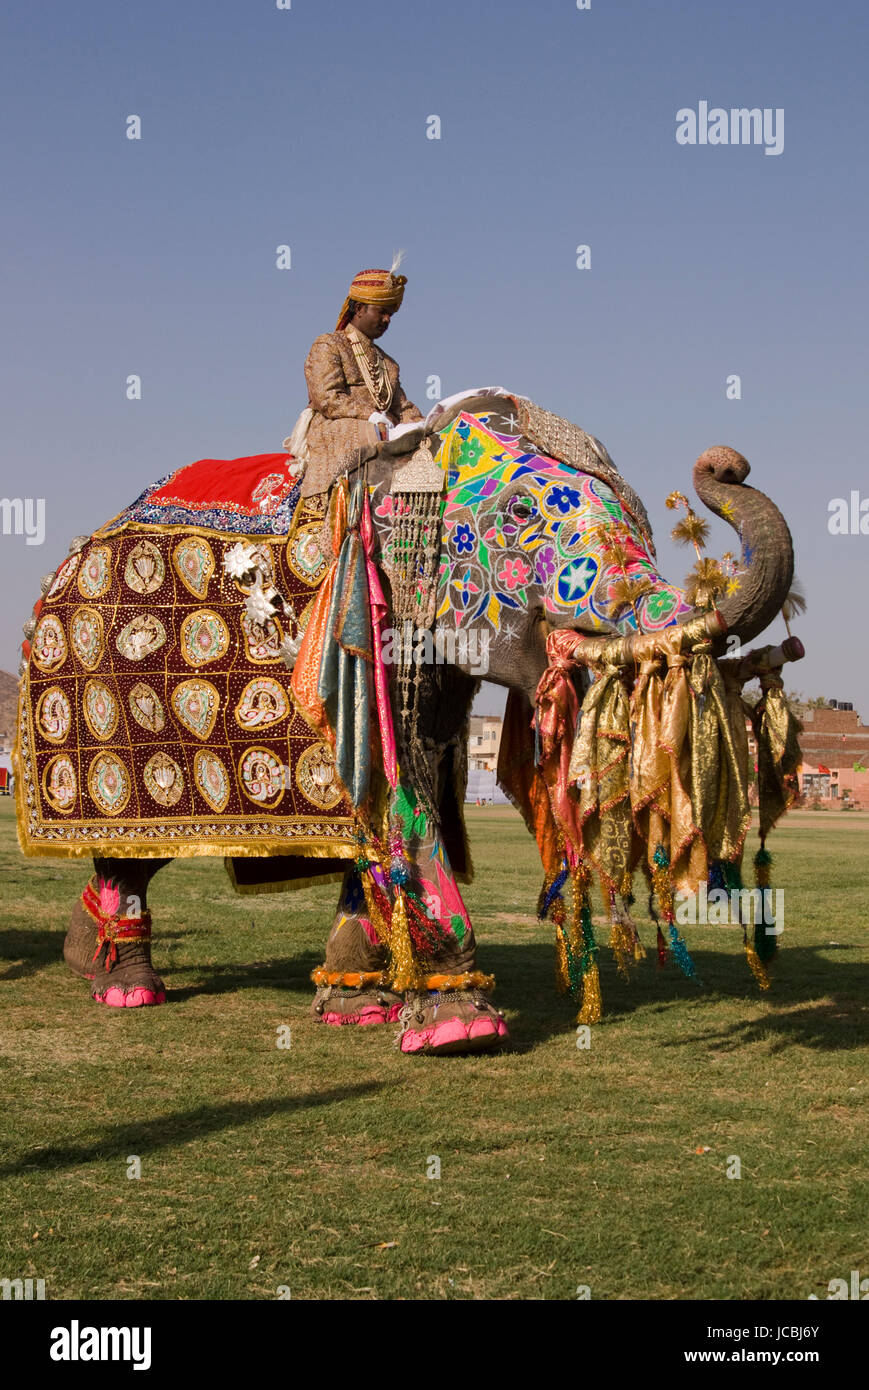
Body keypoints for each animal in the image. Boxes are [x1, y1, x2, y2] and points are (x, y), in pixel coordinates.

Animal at [14, 389, 799, 1054]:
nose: (725, 463)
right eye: (521, 513)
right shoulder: (372, 625)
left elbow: (398, 784)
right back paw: (125, 988)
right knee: (132, 847)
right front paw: (458, 1030)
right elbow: (398, 785)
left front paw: (359, 1005)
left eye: (640, 517)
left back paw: (87, 960)